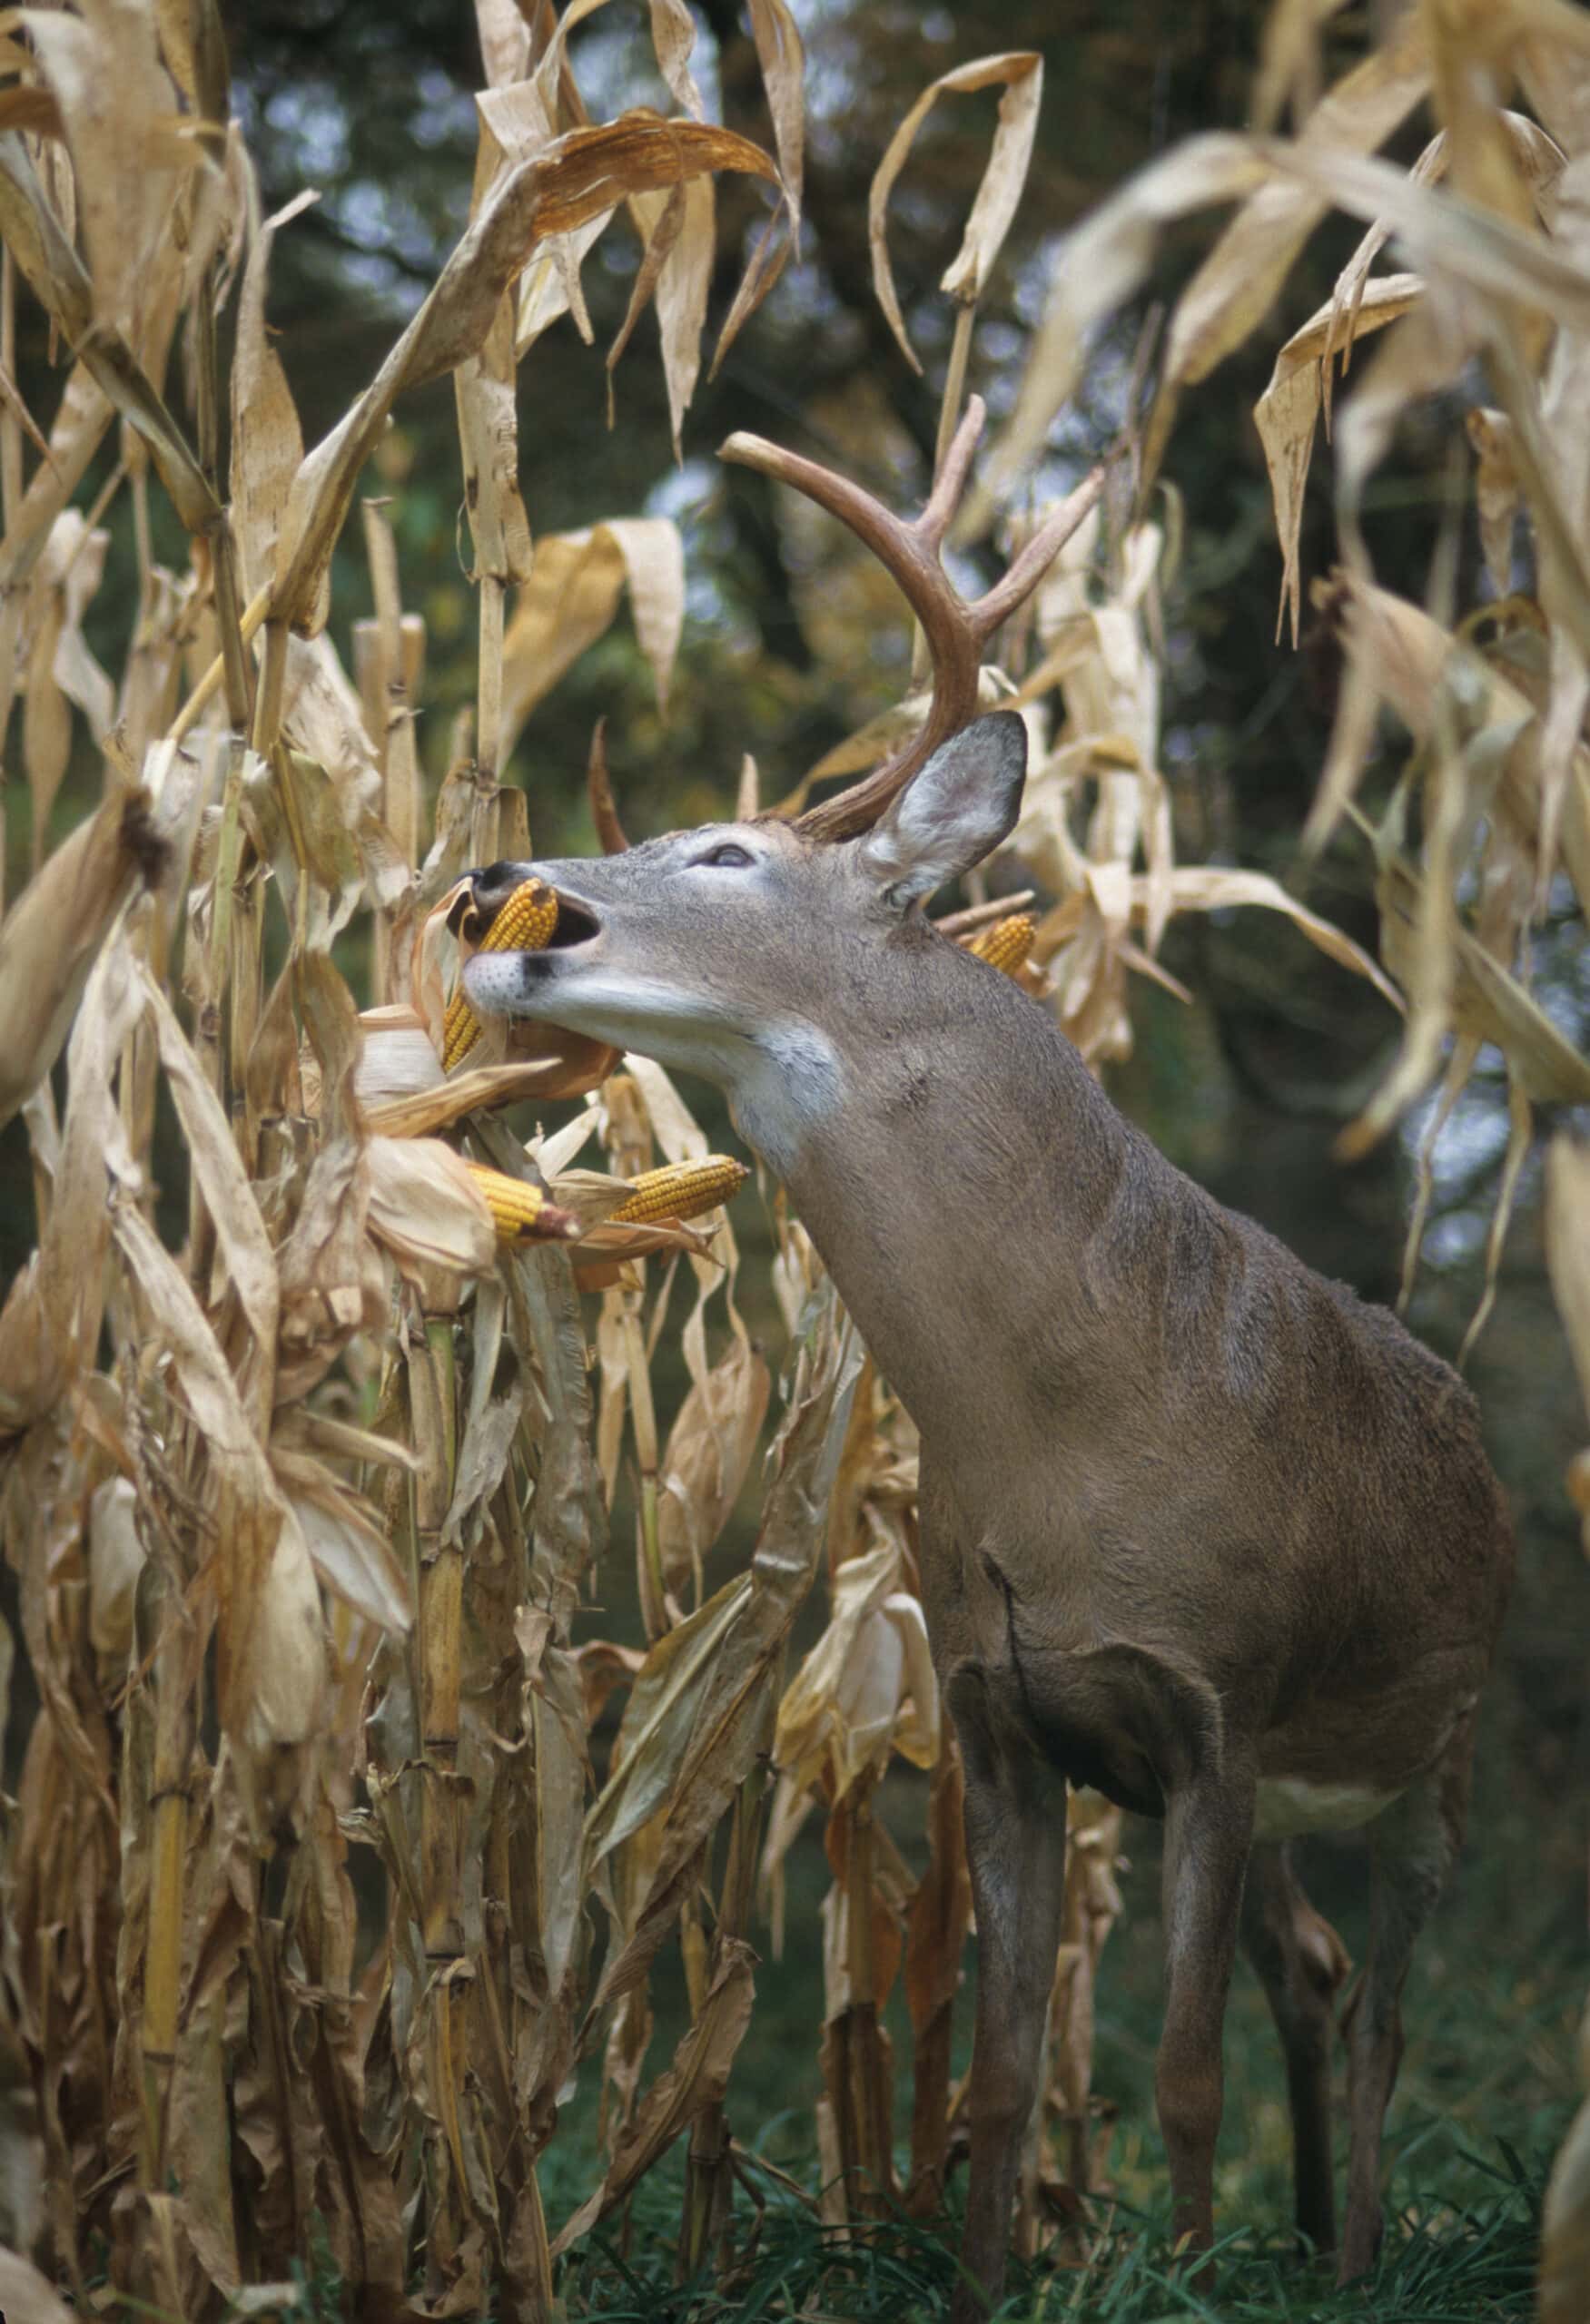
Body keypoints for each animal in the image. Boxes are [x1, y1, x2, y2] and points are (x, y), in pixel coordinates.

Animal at [457, 402, 1515, 2320]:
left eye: (727, 855)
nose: (492, 883)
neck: (1068, 1443)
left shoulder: (1218, 1699)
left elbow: (1177, 2077)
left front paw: (1187, 2280)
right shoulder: (999, 1715)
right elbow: (1012, 2075)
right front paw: (990, 2282)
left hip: (1440, 1741)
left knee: (1385, 2000)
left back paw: (1358, 2255)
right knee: (1317, 1967)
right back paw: (1322, 2244)